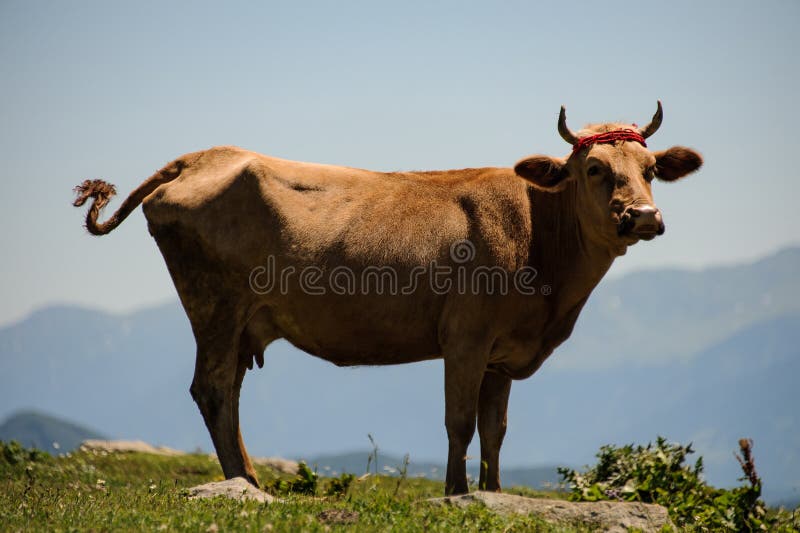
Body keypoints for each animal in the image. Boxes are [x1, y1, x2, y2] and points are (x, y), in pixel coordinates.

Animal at [73, 102, 702, 495]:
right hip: (215, 306)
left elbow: (495, 431)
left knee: (225, 392)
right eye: (594, 167)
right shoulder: (466, 337)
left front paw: (493, 492)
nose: (643, 216)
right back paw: (246, 483)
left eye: (650, 169)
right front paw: (455, 494)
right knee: (213, 390)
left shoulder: (502, 352)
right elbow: (459, 422)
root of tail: (202, 156)